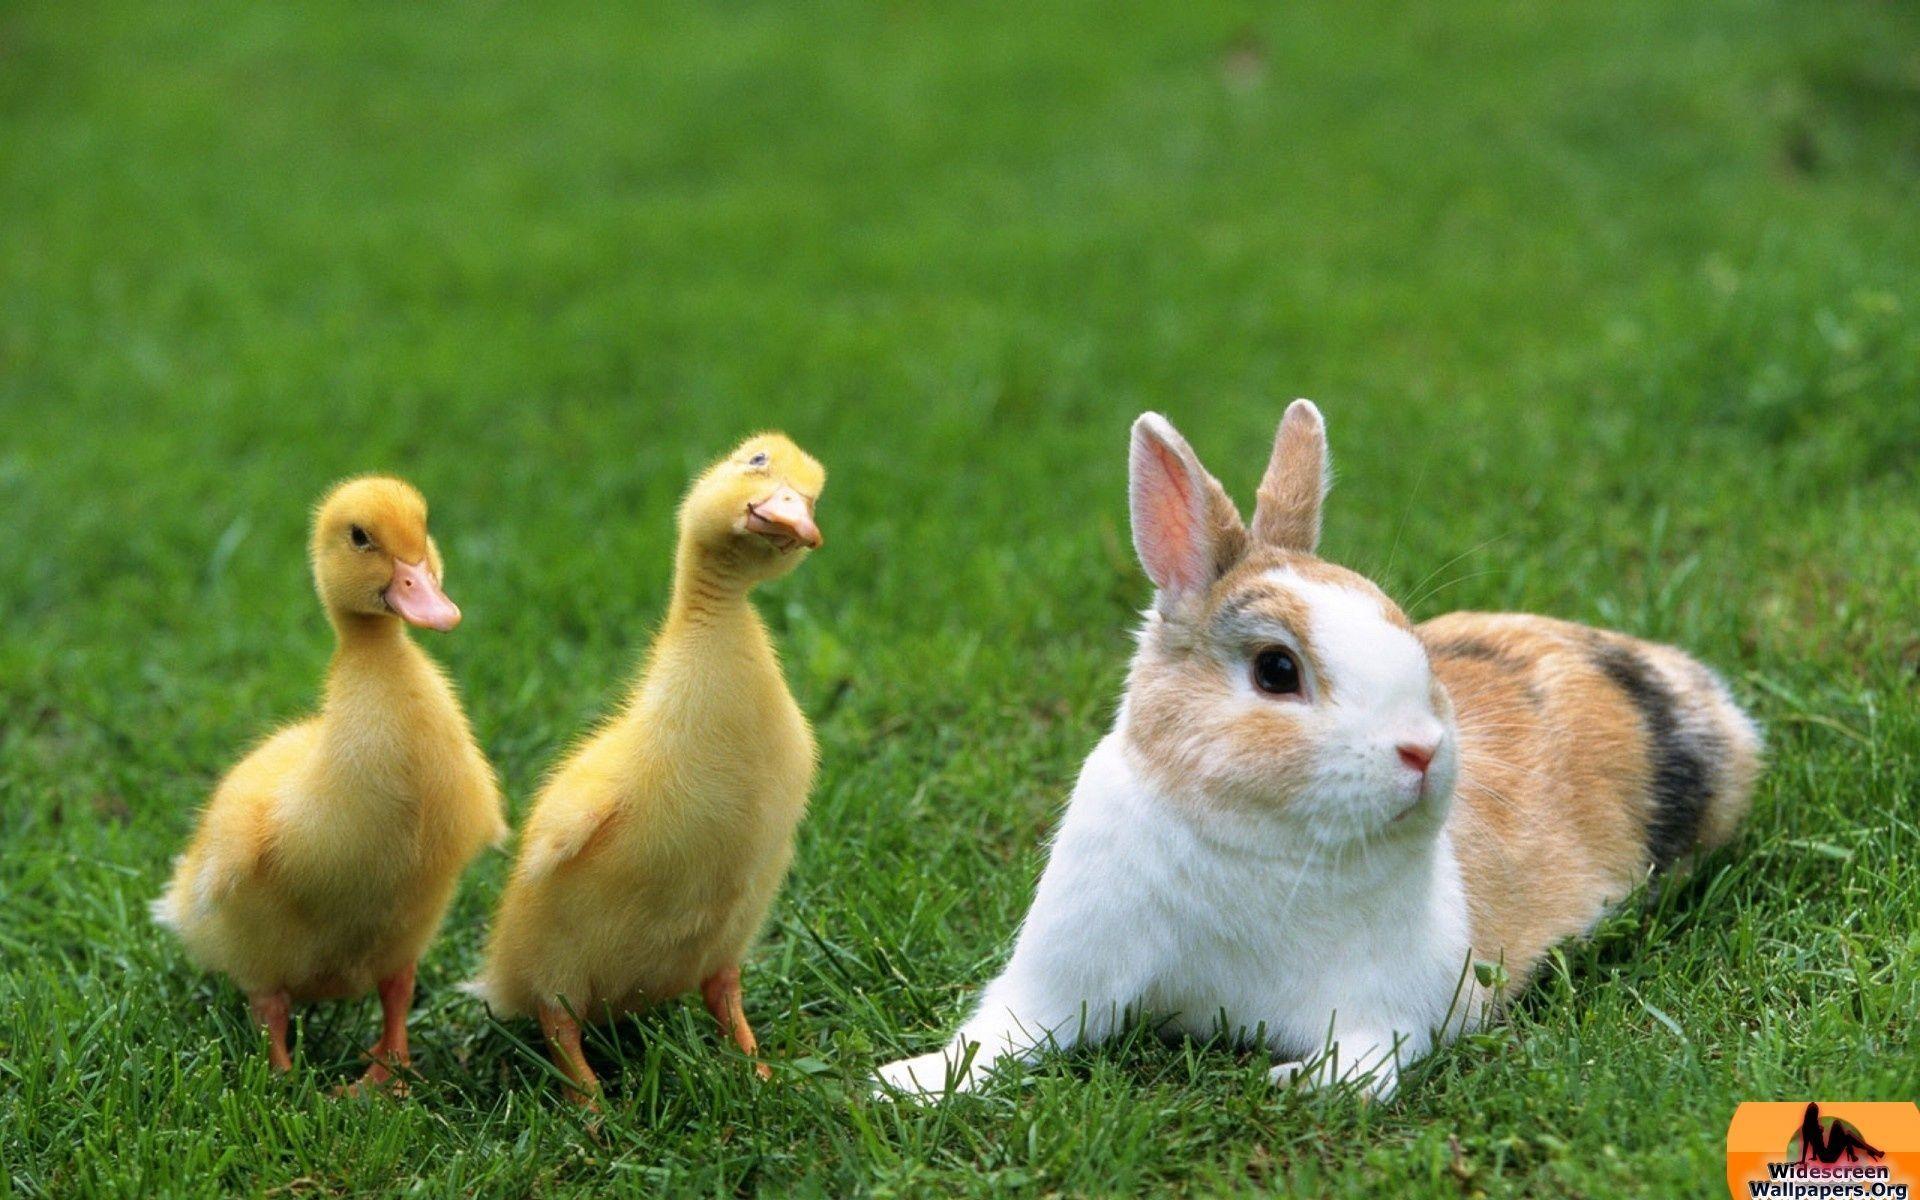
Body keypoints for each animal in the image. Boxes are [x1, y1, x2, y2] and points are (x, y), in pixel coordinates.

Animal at [876, 401, 1761, 1101]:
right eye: (1276, 670)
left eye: (1407, 632)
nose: (1424, 752)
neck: (1252, 843)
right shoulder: (1061, 974)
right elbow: (1003, 1031)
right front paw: (904, 1083)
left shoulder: (1393, 1004)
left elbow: (1366, 1062)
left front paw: (1294, 1082)